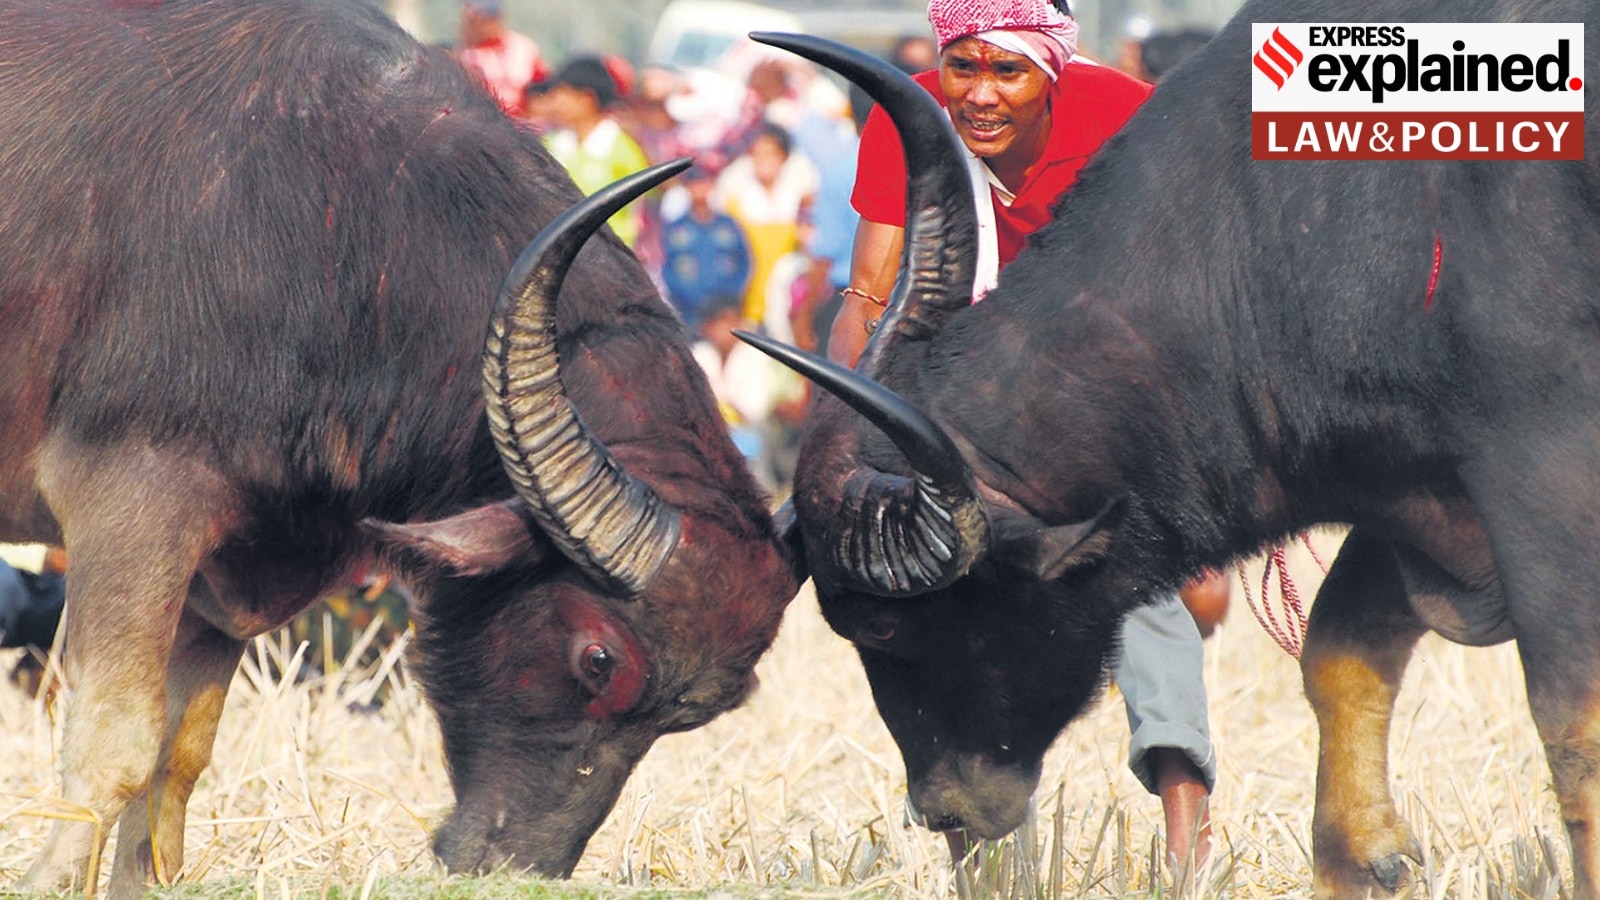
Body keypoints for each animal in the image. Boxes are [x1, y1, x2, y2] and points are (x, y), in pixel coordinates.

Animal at [0, 0, 799, 895]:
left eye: (694, 715)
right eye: (599, 659)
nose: (513, 865)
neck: (348, 237)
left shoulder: (223, 573)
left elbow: (180, 760)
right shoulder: (135, 507)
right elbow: (116, 745)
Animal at [745, 2, 1599, 896]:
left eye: (878, 627)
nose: (945, 811)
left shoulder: (1539, 474)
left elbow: (1571, 721)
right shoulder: (1406, 479)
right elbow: (1337, 651)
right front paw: (1368, 857)